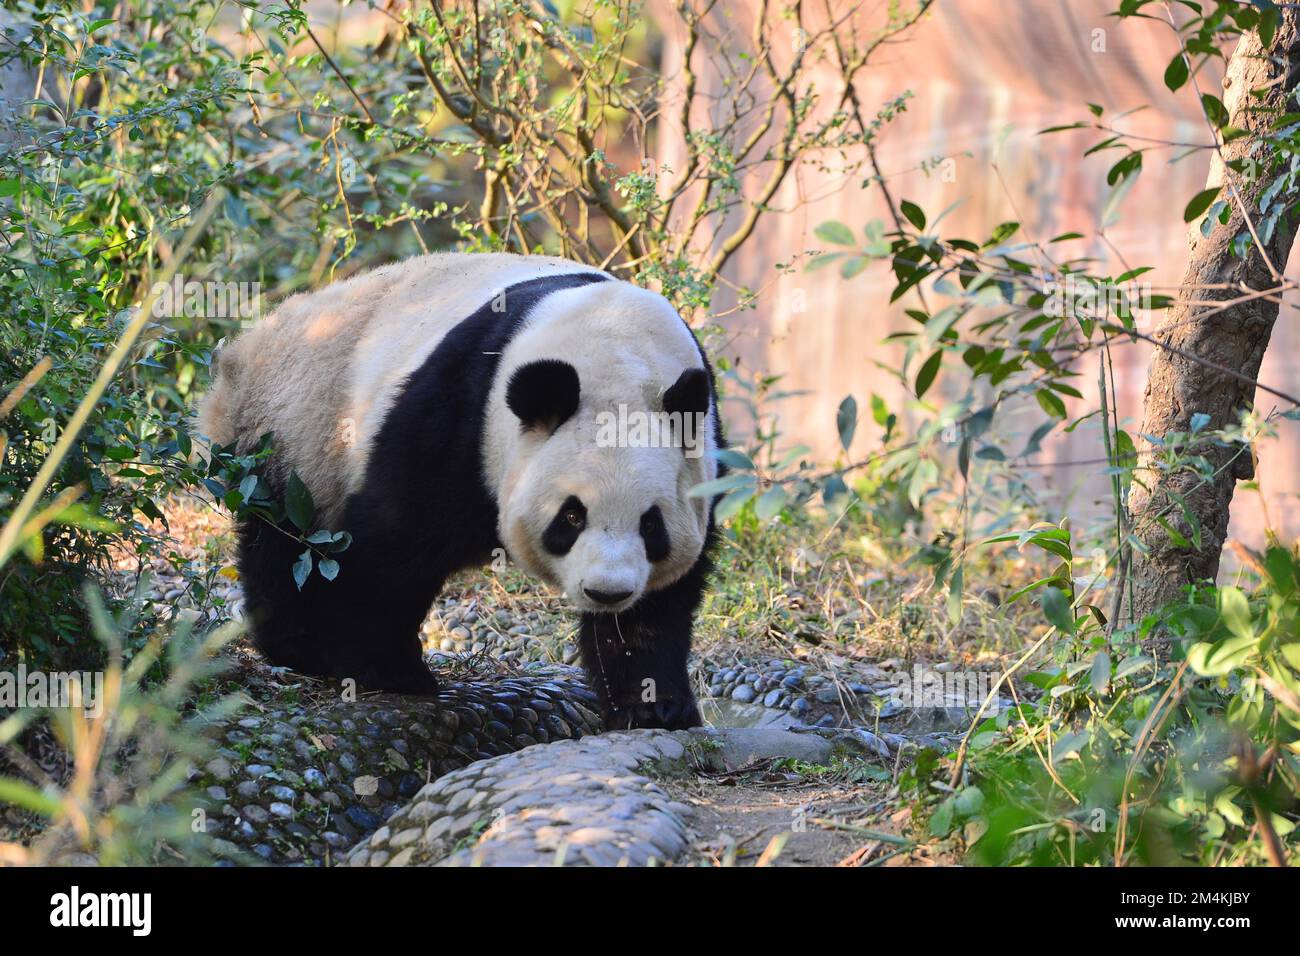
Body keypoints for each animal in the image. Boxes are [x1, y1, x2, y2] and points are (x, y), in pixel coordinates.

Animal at [197, 252, 724, 730]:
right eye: (572, 516)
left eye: (651, 525)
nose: (607, 592)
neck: (614, 350)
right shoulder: (461, 411)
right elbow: (394, 541)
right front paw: (389, 671)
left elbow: (659, 604)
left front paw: (654, 706)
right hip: (293, 429)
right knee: (287, 540)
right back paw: (298, 645)